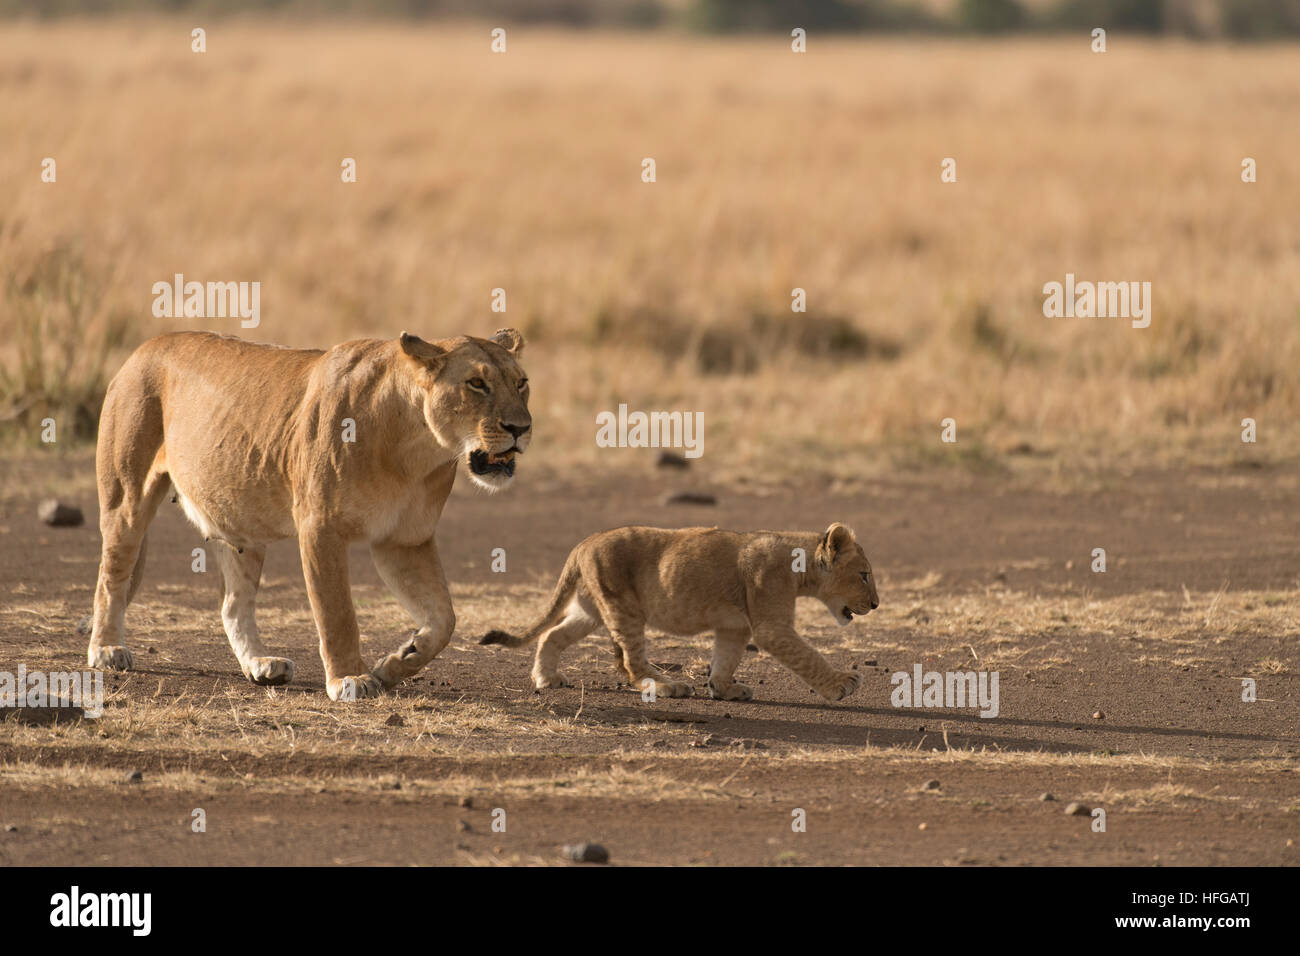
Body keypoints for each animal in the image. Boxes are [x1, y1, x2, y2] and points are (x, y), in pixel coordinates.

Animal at [85, 328, 530, 701]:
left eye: (521, 383)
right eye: (476, 383)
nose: (521, 428)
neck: (416, 447)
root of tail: (144, 346)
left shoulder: (404, 540)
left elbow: (444, 620)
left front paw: (399, 660)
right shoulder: (321, 527)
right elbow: (337, 612)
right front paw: (351, 678)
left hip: (239, 521)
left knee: (232, 604)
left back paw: (261, 665)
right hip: (127, 498)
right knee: (111, 576)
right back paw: (107, 648)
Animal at [479, 523, 878, 701]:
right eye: (863, 575)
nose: (875, 604)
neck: (800, 567)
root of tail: (582, 544)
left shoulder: (734, 628)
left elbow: (725, 659)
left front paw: (724, 689)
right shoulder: (771, 626)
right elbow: (807, 656)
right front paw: (842, 684)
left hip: (590, 609)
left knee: (552, 634)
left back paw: (546, 678)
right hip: (624, 607)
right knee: (632, 663)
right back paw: (668, 686)